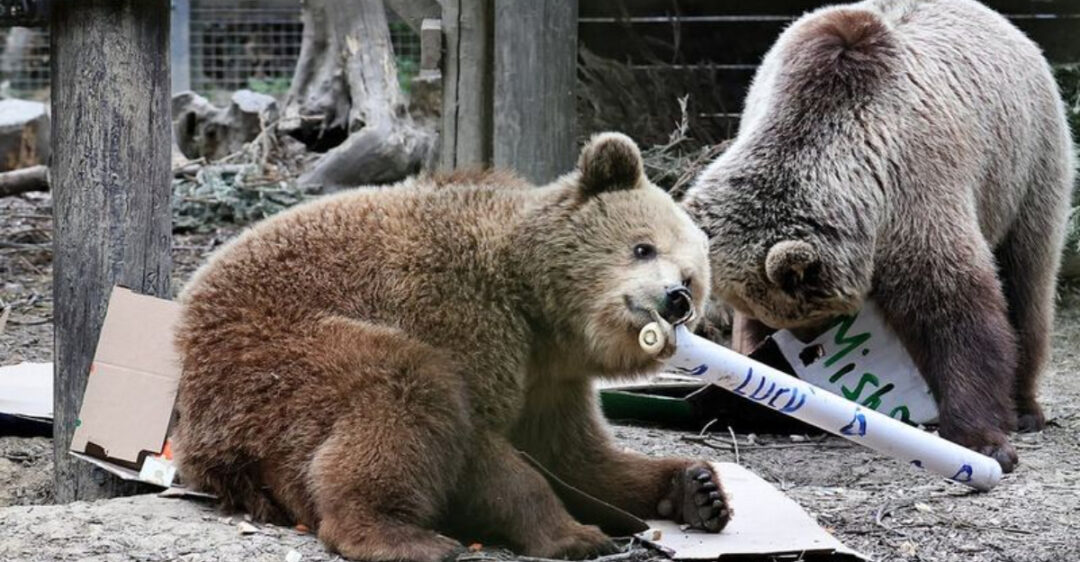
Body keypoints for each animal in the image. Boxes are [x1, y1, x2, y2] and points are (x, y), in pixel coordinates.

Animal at [173, 132, 731, 562]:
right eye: (643, 247)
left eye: (692, 278)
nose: (676, 298)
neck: (537, 309)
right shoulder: (459, 311)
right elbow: (484, 445)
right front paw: (576, 535)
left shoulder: (551, 379)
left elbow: (575, 456)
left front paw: (697, 489)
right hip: (272, 356)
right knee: (404, 390)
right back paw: (403, 535)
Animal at [682, 0, 1075, 473]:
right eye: (780, 318)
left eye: (808, 316)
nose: (805, 348)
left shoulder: (915, 190)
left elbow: (956, 313)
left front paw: (982, 439)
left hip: (1027, 166)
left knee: (1027, 281)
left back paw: (1025, 408)